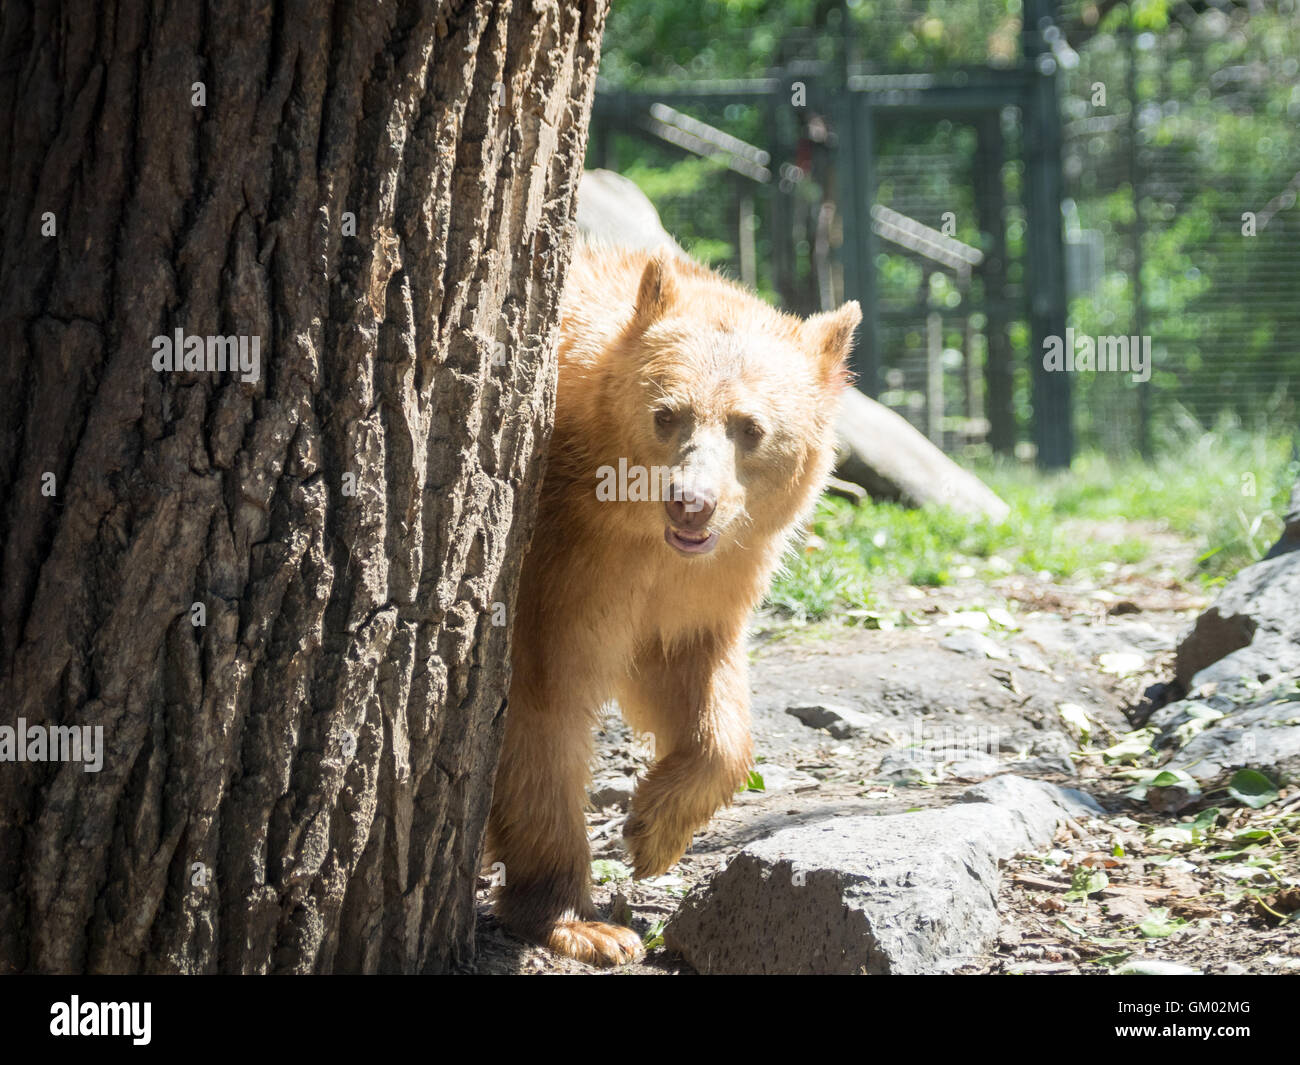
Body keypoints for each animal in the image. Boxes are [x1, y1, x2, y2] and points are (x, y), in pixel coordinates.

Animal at [487, 241, 860, 966]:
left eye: (750, 427)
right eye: (667, 414)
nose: (693, 502)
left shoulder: (703, 578)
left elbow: (694, 674)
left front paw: (654, 829)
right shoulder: (558, 558)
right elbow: (543, 701)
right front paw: (583, 921)